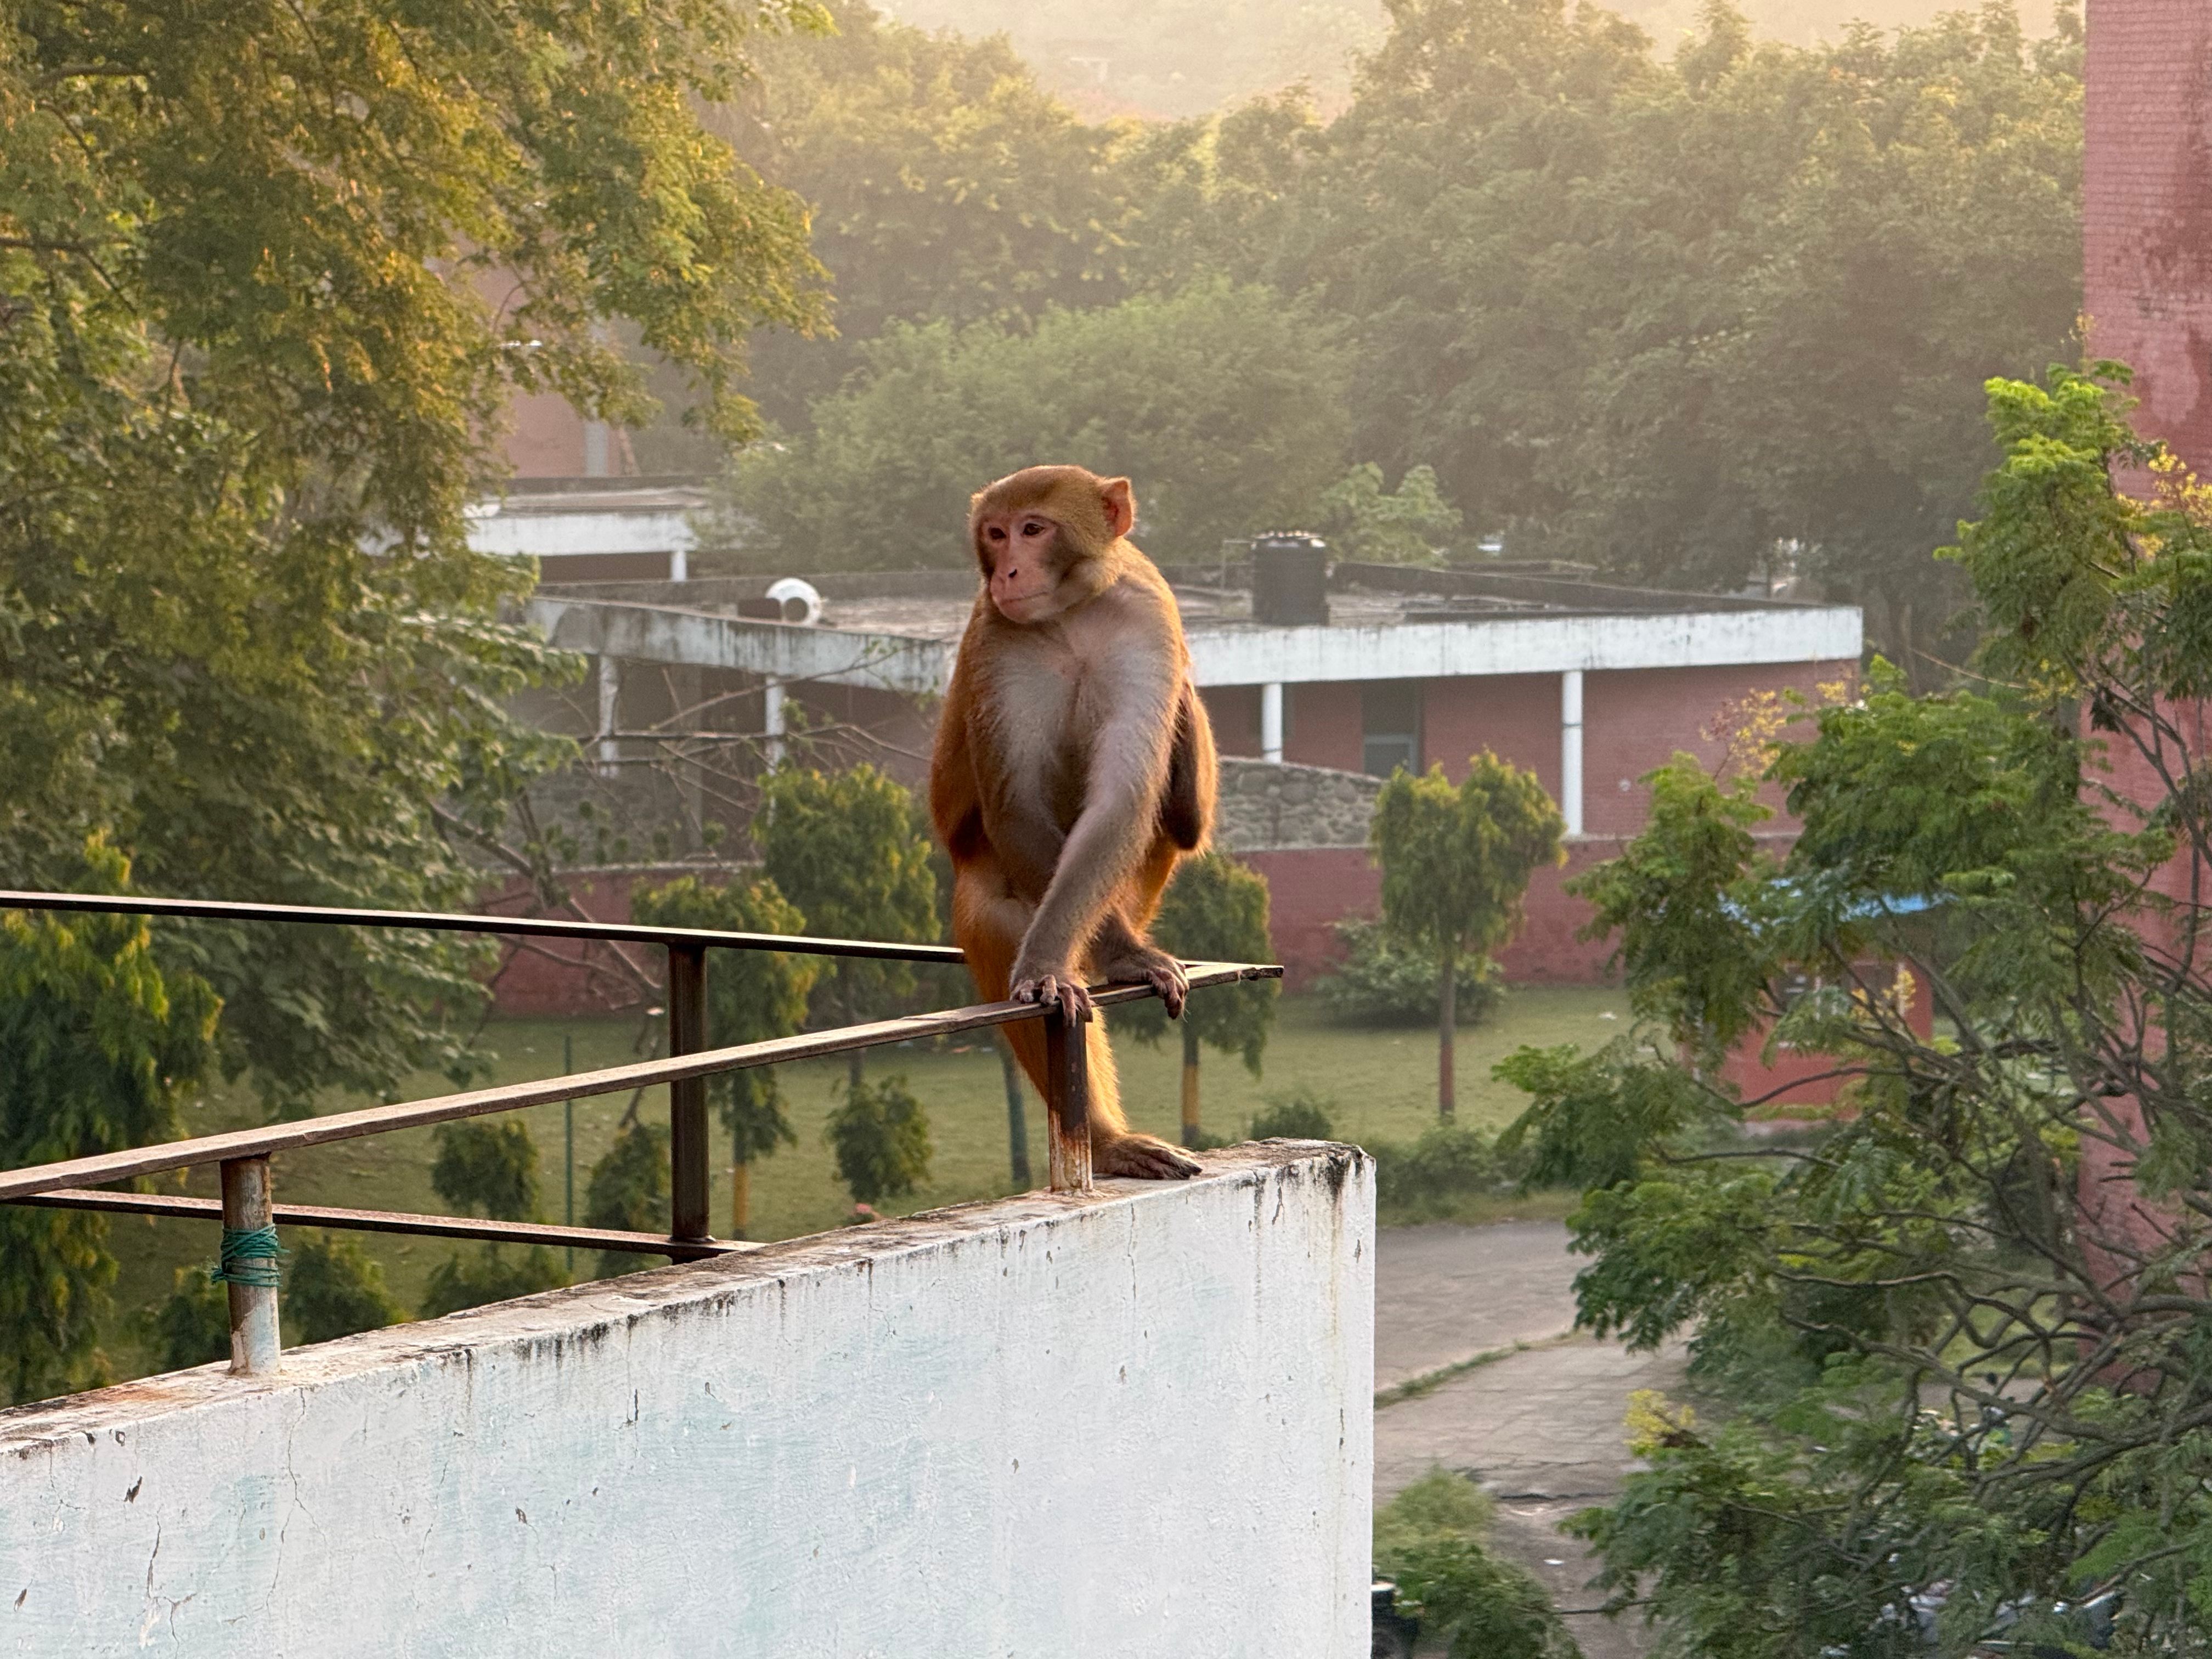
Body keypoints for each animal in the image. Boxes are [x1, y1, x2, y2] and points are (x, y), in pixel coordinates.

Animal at [929, 464, 1217, 1180]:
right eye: (995, 534)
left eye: (1034, 529)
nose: (1007, 571)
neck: (1073, 615)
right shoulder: (997, 640)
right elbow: (1018, 803)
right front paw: (1064, 967)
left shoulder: (1147, 620)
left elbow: (1123, 797)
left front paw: (1129, 957)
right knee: (1005, 916)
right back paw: (1109, 1143)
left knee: (1176, 815)